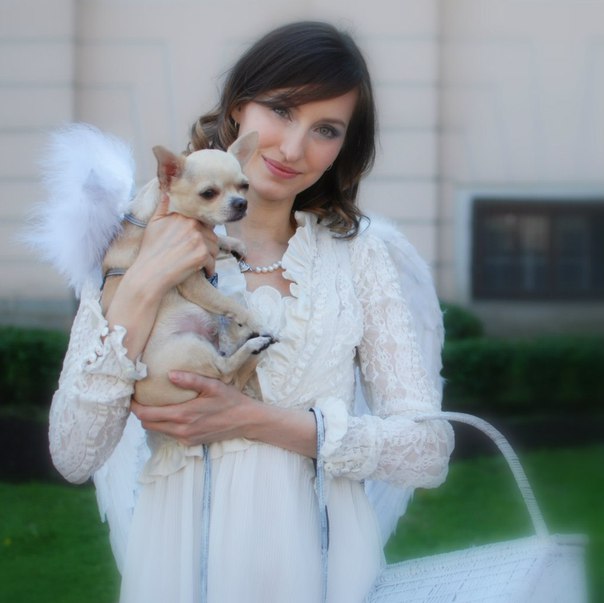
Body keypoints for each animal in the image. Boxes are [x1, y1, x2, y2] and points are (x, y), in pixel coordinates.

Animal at [100, 131, 274, 406]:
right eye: (208, 193)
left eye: (244, 186)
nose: (241, 203)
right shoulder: (192, 281)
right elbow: (229, 303)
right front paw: (256, 321)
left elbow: (215, 237)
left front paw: (231, 243)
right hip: (188, 344)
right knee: (225, 373)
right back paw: (253, 346)